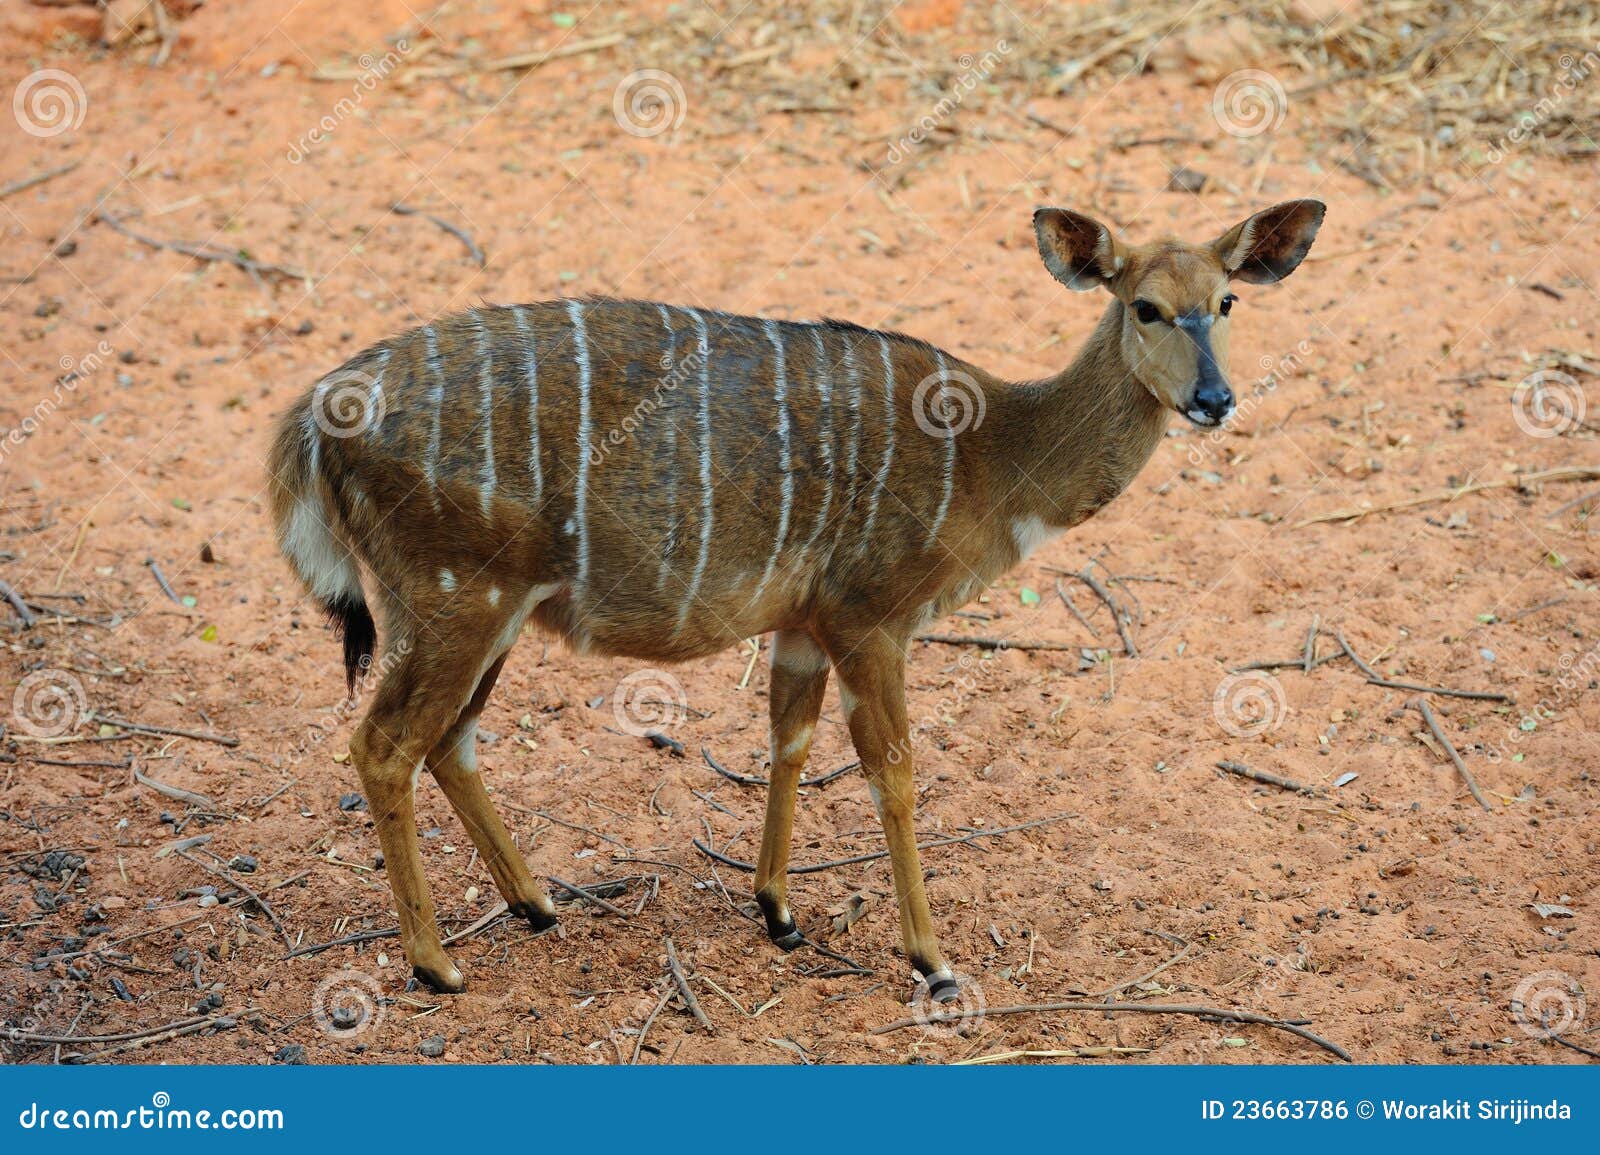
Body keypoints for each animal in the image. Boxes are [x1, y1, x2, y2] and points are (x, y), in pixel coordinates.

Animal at [269, 199, 1324, 998]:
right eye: (1145, 306)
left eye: (1226, 298)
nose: (1214, 400)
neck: (991, 457)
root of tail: (316, 416)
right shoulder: (873, 618)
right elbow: (893, 770)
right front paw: (931, 958)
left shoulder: (805, 625)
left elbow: (789, 740)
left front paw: (777, 911)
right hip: (457, 599)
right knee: (384, 743)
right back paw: (436, 964)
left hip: (488, 612)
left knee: (447, 739)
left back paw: (537, 904)